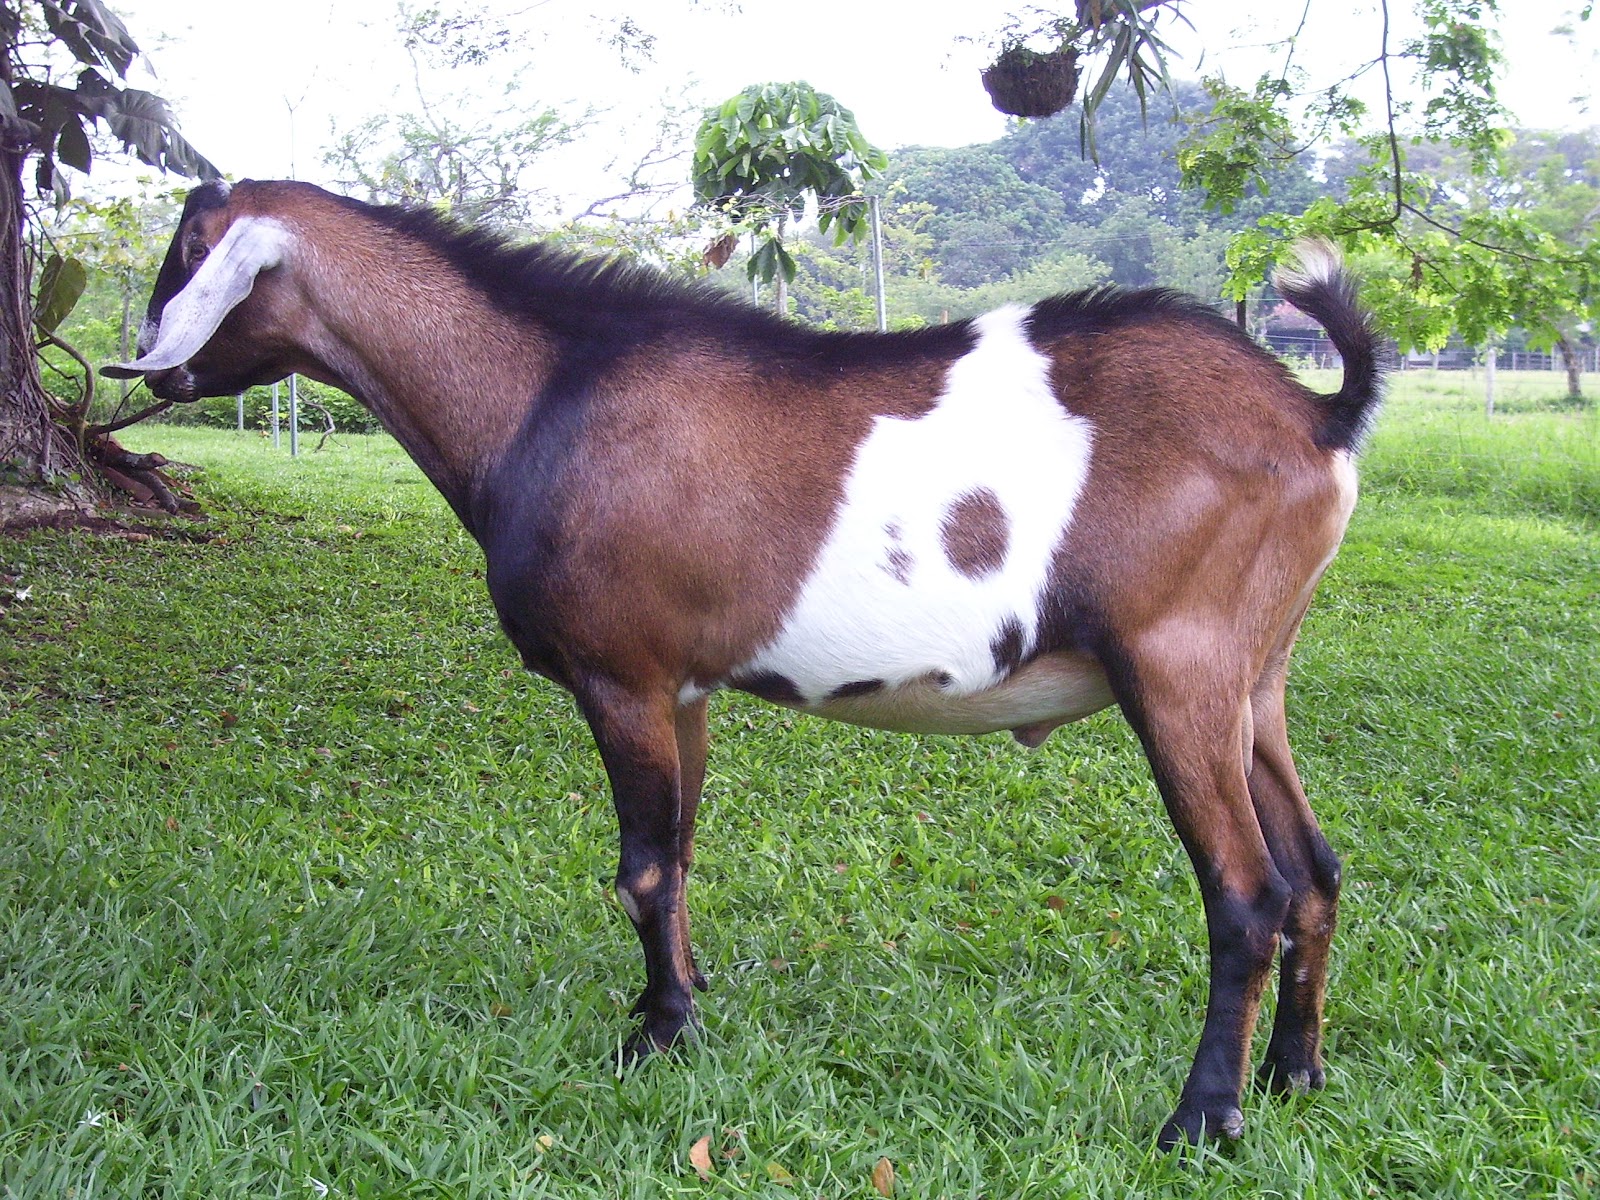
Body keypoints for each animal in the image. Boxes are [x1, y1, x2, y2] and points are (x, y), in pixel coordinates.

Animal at [105, 178, 1382, 1148]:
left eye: (189, 250)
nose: (148, 365)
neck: (547, 391)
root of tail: (1315, 415)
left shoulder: (618, 673)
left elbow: (639, 868)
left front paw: (655, 1035)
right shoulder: (682, 684)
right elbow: (678, 850)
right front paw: (681, 997)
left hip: (1178, 667)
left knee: (1249, 892)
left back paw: (1201, 1119)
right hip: (1254, 680)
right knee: (1315, 871)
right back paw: (1295, 1078)